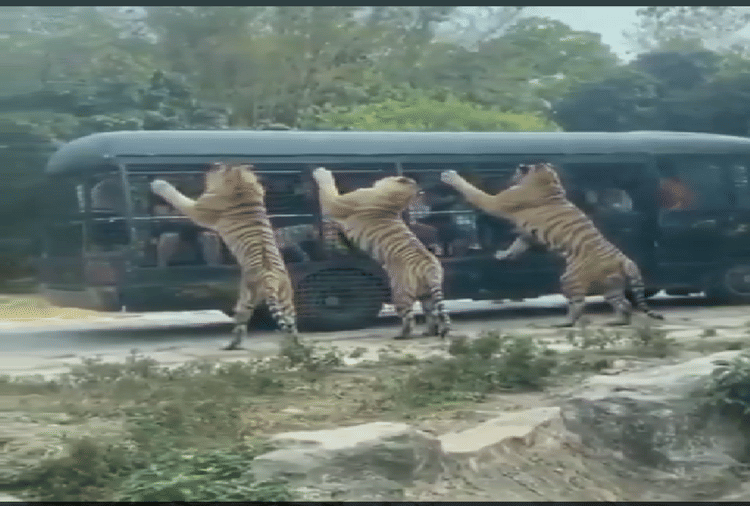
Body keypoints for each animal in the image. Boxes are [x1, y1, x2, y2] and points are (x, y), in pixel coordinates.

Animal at [150, 162, 300, 350]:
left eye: (217, 169)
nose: (210, 167)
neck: (242, 184)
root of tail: (269, 277)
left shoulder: (198, 209)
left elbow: (178, 197)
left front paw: (158, 184)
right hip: (285, 298)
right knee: (290, 324)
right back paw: (296, 346)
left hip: (245, 297)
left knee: (241, 324)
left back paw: (231, 345)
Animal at [312, 167, 450, 339]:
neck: (397, 200)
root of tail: (430, 267)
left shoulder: (335, 203)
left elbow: (328, 187)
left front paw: (321, 171)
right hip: (427, 294)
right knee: (432, 313)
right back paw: (429, 332)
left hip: (400, 292)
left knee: (409, 317)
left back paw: (402, 335)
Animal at [440, 163, 663, 327]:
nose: (514, 170)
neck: (548, 181)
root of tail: (624, 259)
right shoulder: (527, 234)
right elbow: (518, 244)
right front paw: (504, 254)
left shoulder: (495, 203)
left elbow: (473, 191)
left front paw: (450, 176)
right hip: (611, 285)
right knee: (624, 303)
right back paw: (617, 322)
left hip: (571, 278)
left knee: (579, 304)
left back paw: (565, 323)